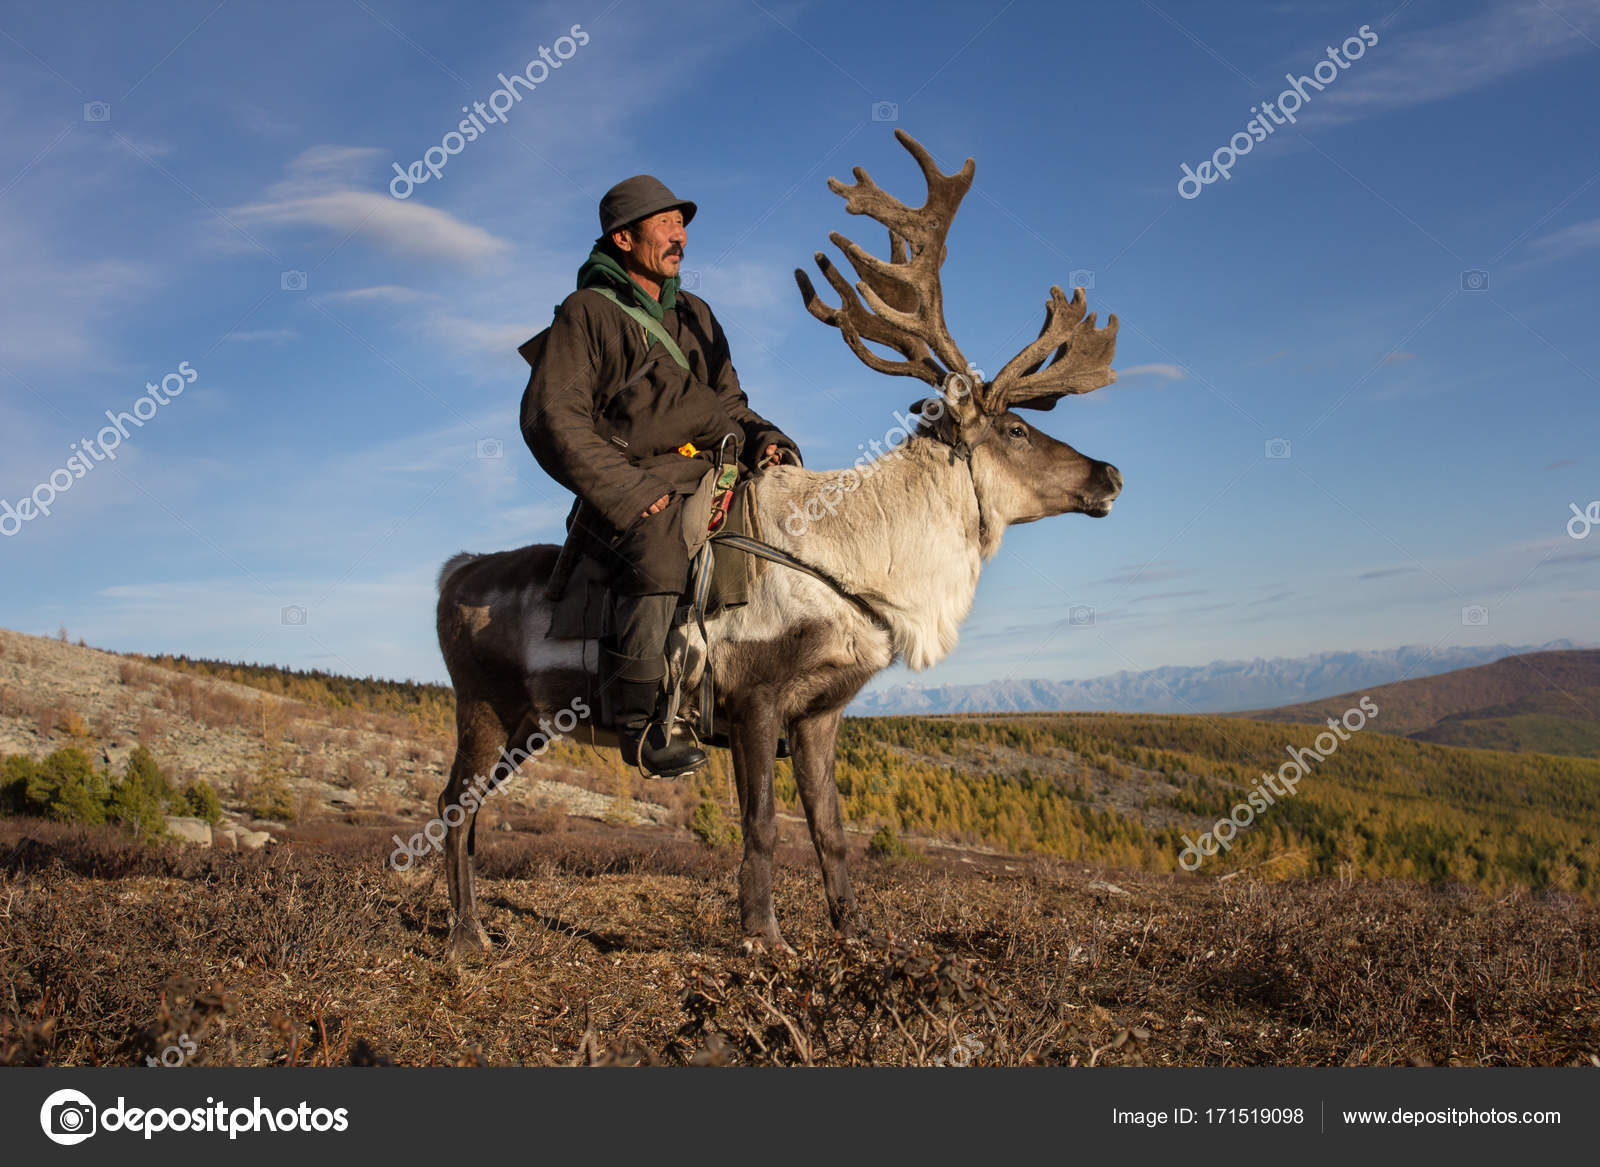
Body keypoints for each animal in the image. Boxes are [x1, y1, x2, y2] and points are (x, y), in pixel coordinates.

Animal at [432, 129, 1123, 957]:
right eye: (1016, 429)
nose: (1111, 474)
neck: (860, 565)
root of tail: (452, 574)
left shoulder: (821, 712)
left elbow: (831, 830)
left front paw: (856, 932)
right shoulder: (755, 702)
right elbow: (761, 825)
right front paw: (765, 937)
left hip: (527, 723)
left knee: (470, 812)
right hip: (484, 706)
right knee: (453, 804)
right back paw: (466, 938)